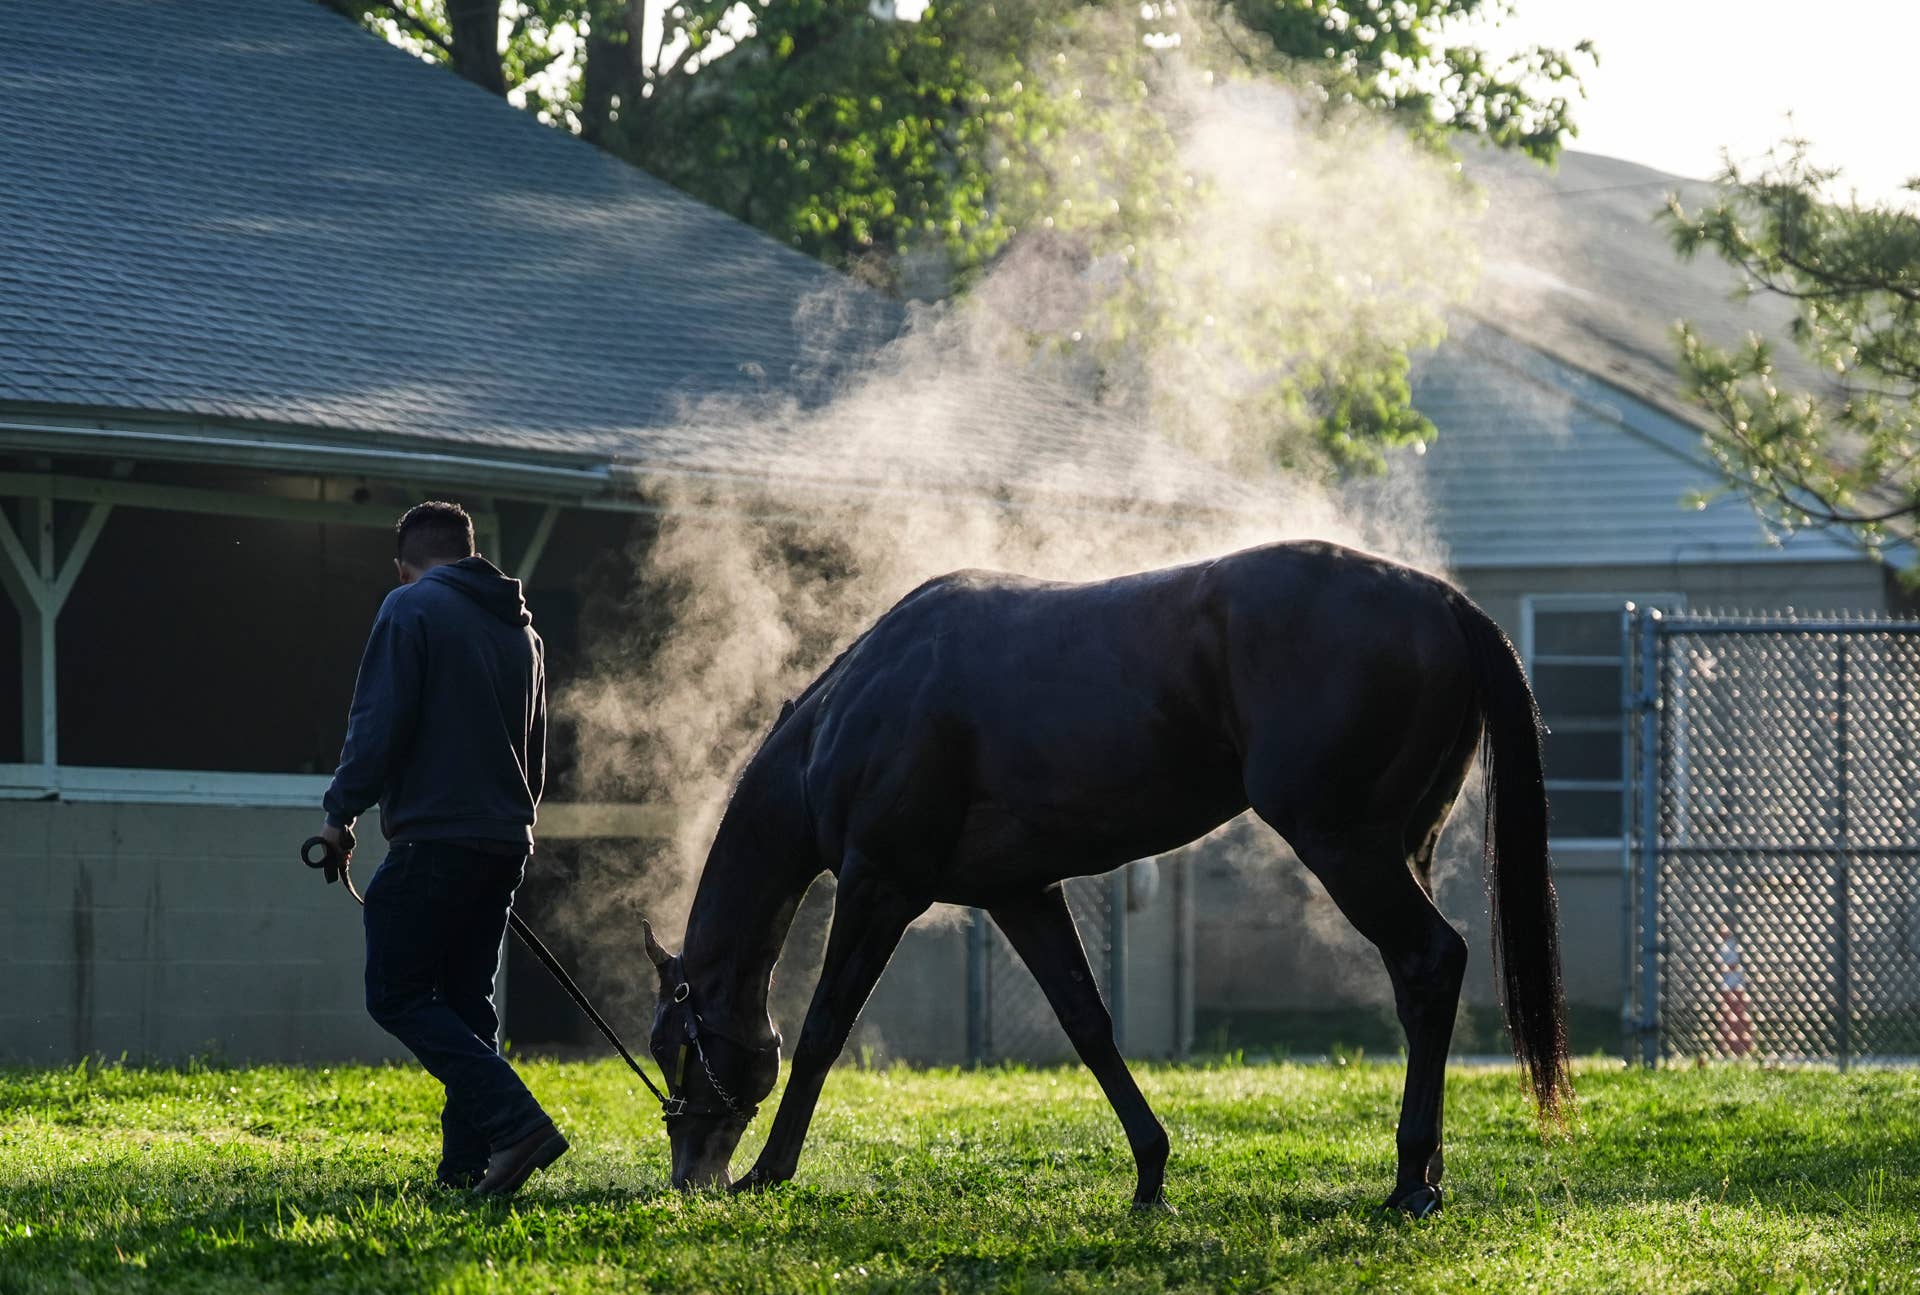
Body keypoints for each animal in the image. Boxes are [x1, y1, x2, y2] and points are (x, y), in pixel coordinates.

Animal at [639, 539, 1571, 1217]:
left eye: (672, 1045)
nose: (689, 1175)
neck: (856, 711)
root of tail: (1441, 601)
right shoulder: (1021, 894)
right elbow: (1088, 1025)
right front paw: (1151, 1171)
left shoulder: (881, 887)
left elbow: (825, 1027)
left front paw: (770, 1169)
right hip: (1398, 849)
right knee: (1419, 988)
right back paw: (1427, 1170)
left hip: (1347, 848)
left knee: (1431, 961)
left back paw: (1411, 1179)